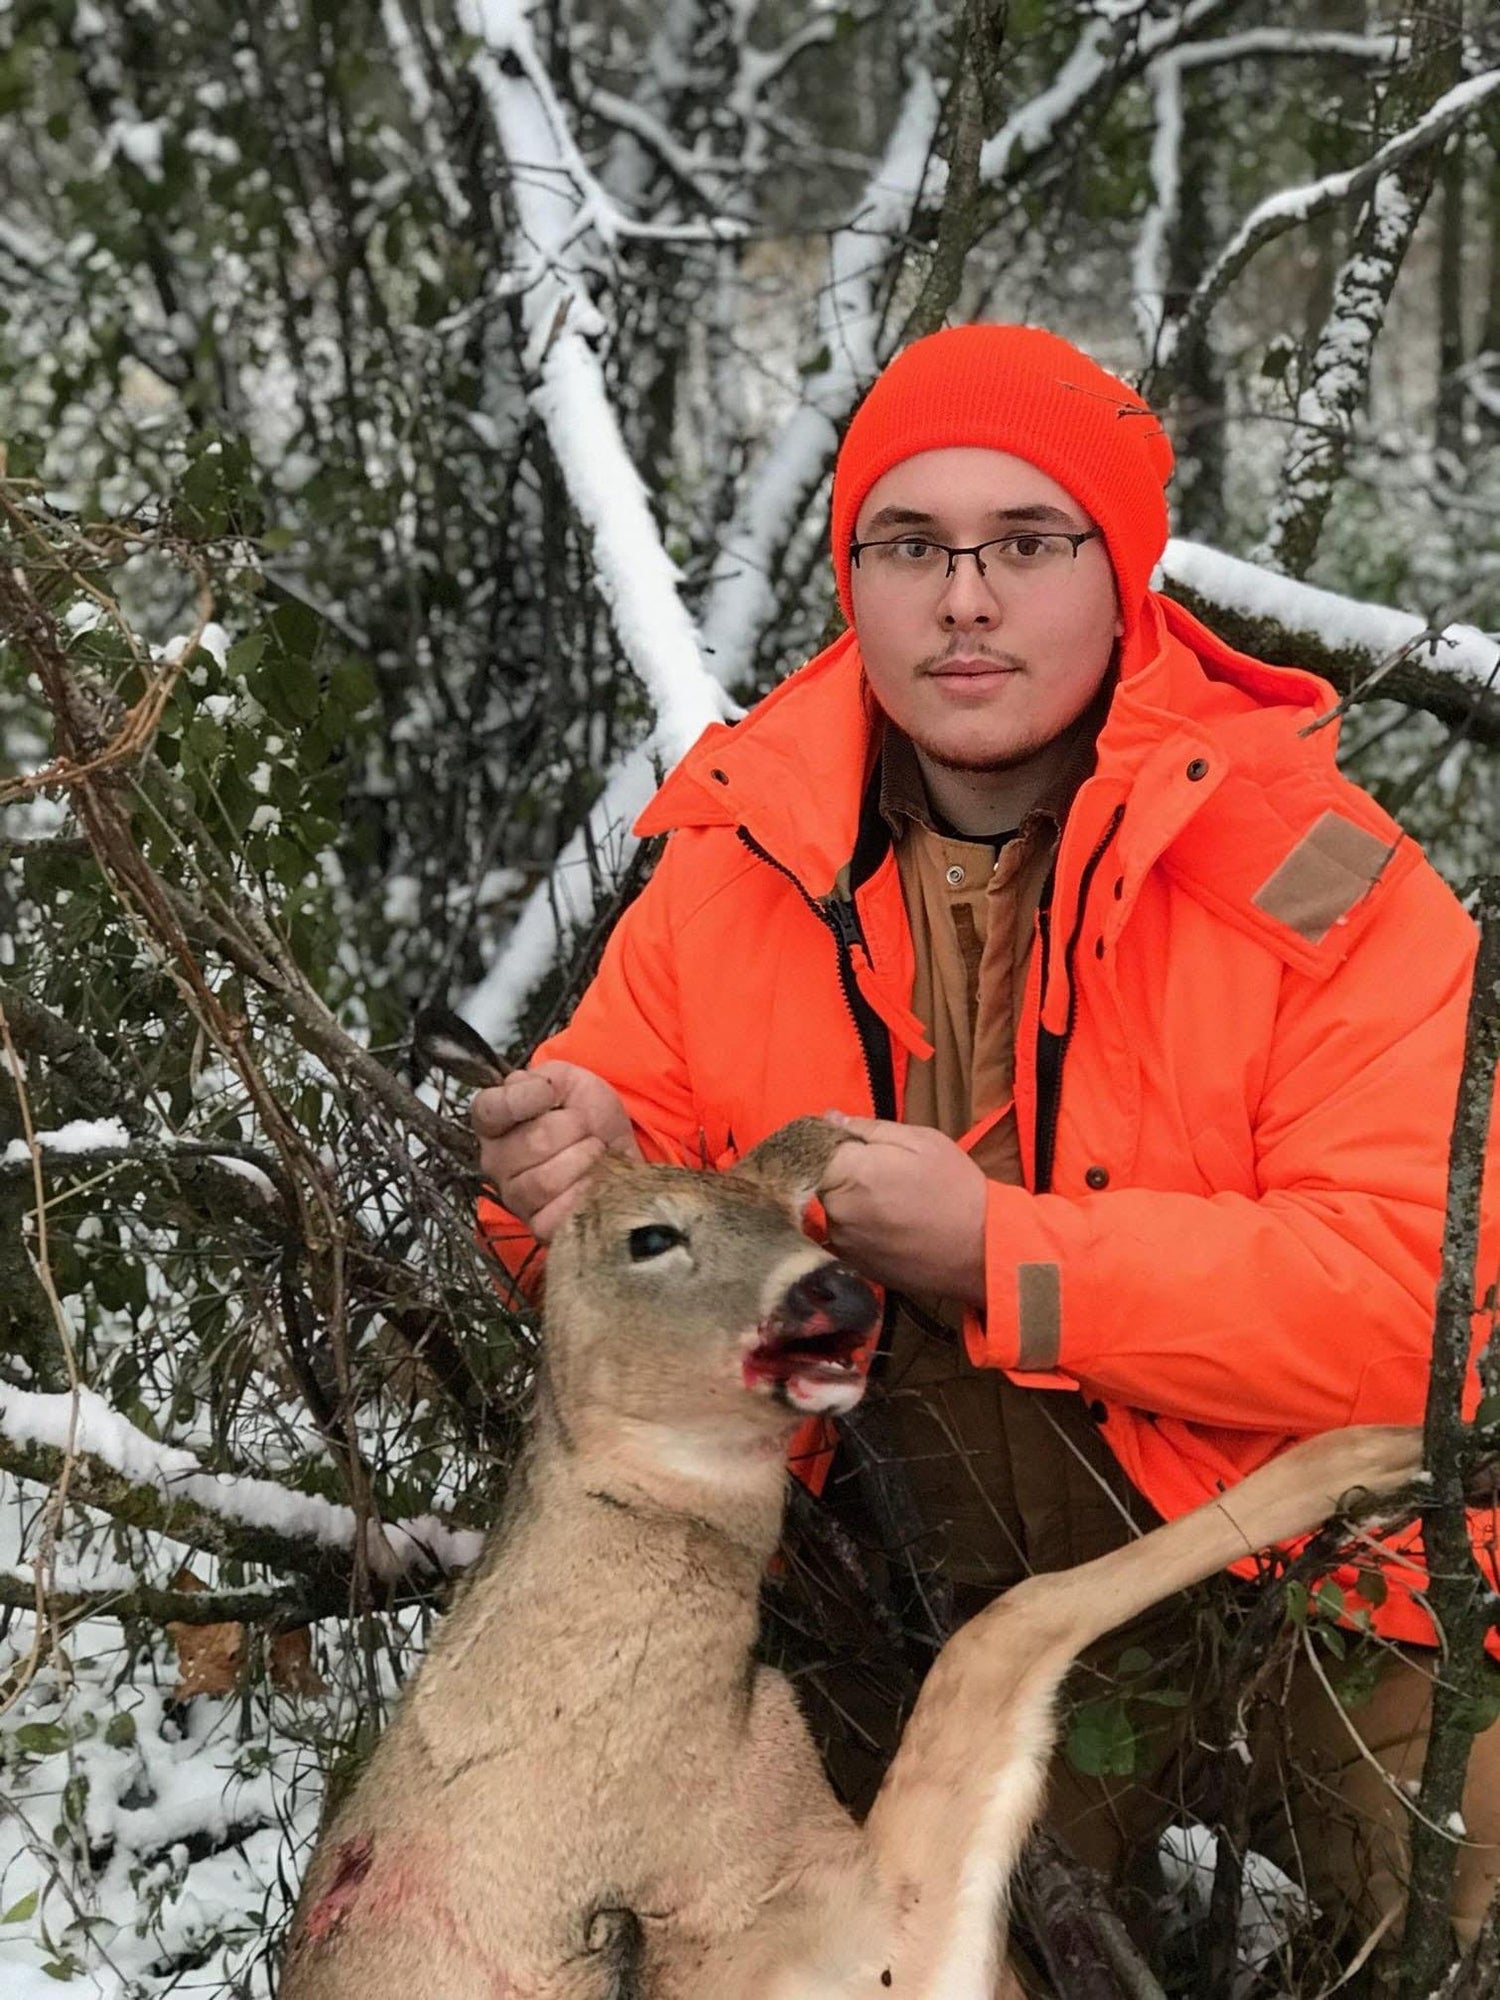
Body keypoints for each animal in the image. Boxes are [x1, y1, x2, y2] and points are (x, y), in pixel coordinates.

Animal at [279, 1086, 1423, 2000]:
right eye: (652, 1236)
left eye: (798, 1213)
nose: (834, 1286)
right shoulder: (843, 1944)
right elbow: (1002, 1627)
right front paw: (1380, 1446)